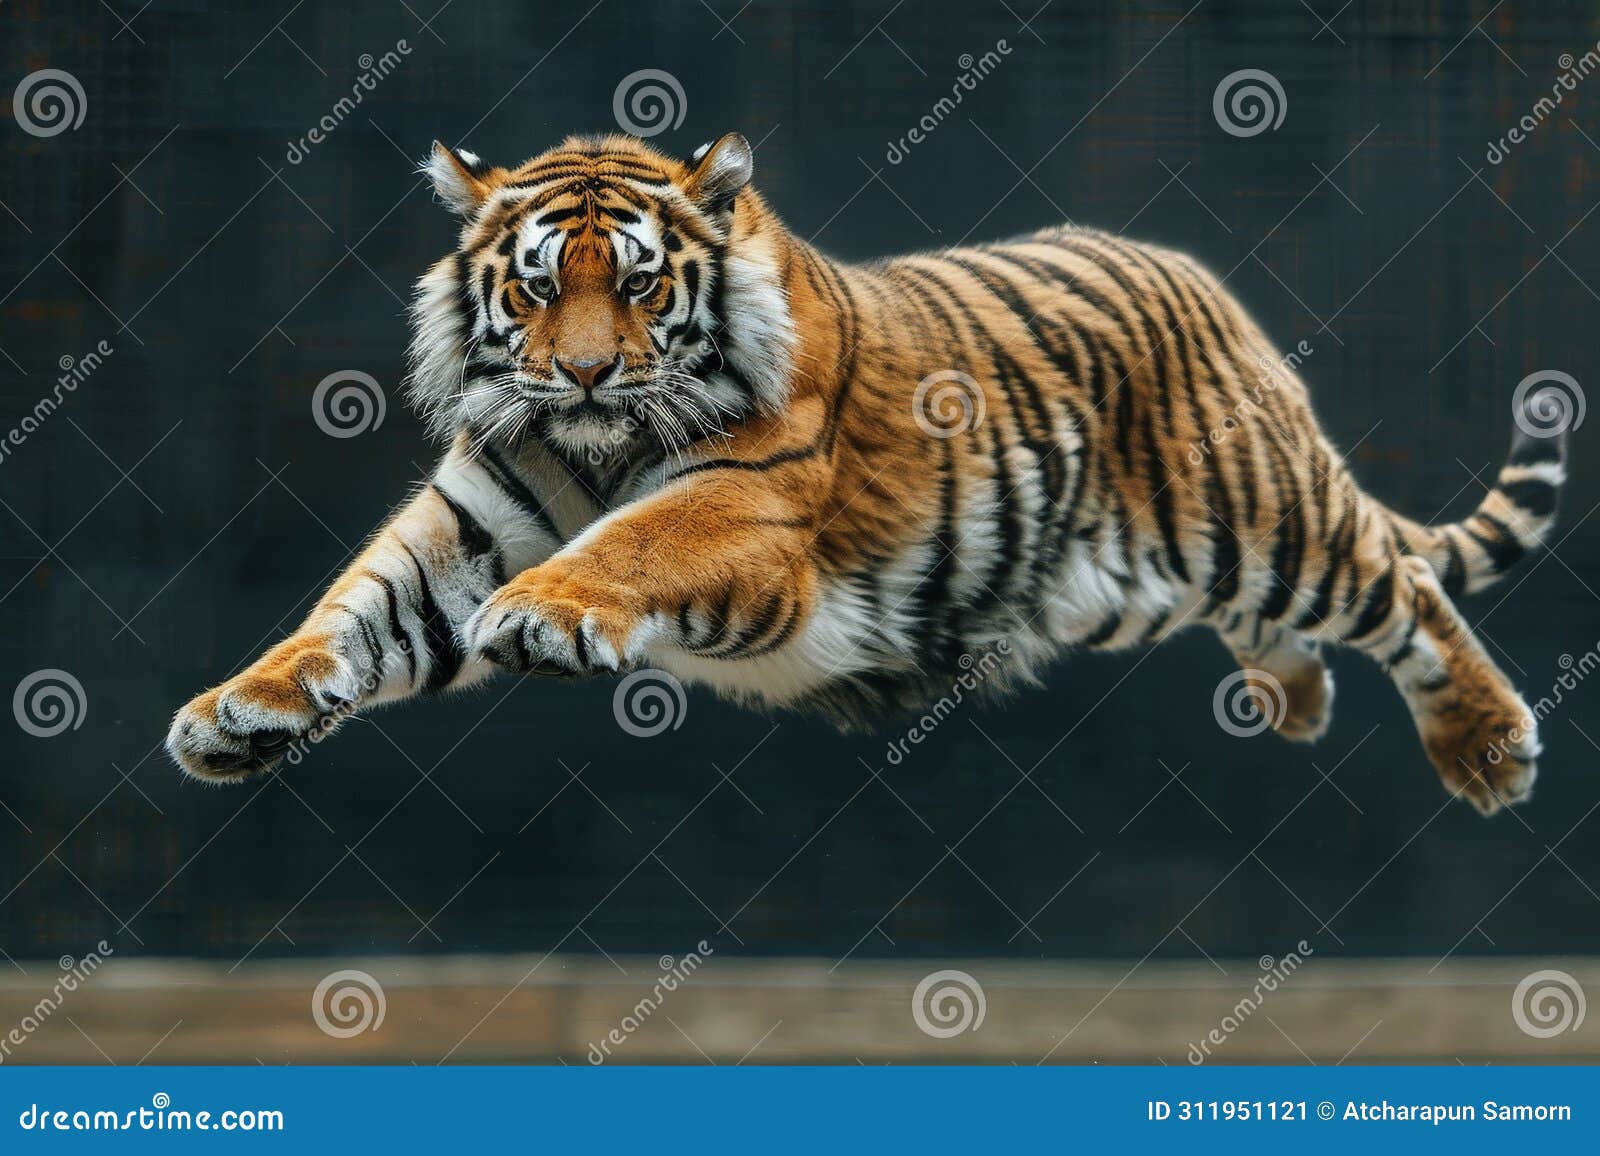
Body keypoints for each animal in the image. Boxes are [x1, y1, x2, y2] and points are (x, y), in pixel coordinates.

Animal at [166, 131, 1569, 817]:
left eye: (637, 284)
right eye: (535, 285)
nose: (584, 375)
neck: (592, 445)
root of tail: (1205, 280)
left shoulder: (752, 509)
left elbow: (628, 546)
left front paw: (548, 612)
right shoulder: (464, 519)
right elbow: (349, 610)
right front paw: (235, 711)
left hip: (1257, 517)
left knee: (1400, 587)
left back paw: (1487, 747)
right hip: (1113, 582)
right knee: (1293, 622)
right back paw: (1294, 698)